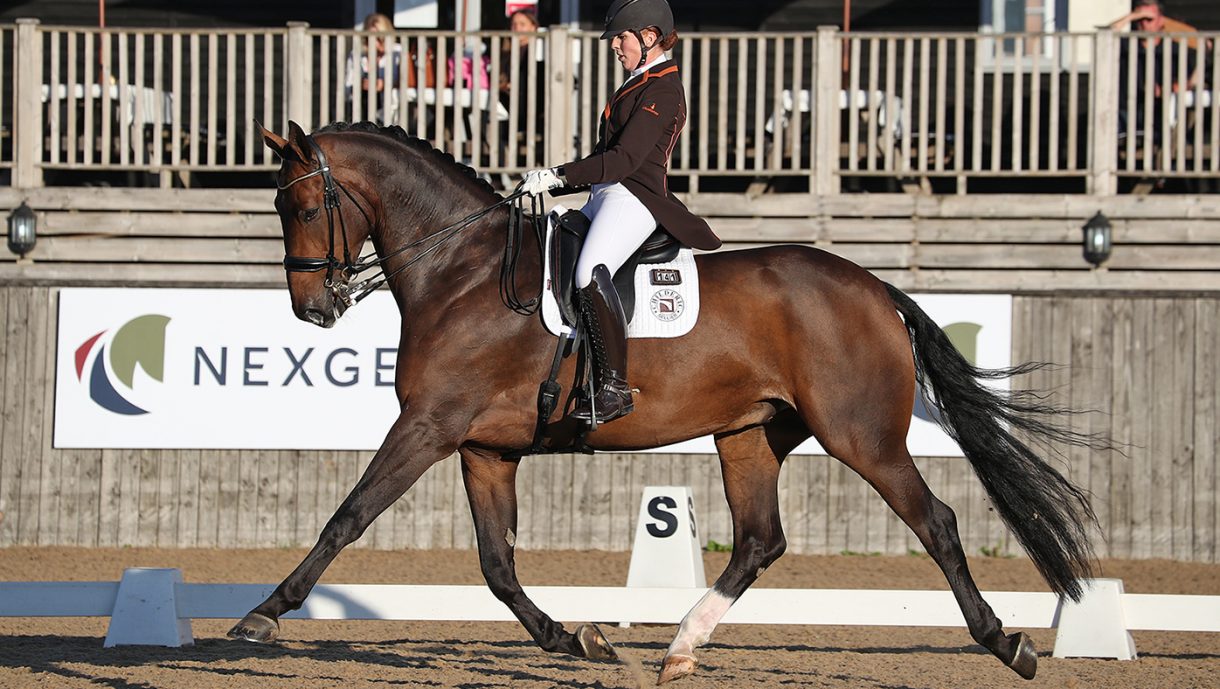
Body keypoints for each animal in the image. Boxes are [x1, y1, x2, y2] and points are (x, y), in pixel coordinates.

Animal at [231, 119, 1100, 684]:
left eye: (301, 207)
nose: (313, 311)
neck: (463, 269)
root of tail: (874, 288)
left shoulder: (427, 425)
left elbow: (347, 516)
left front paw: (262, 615)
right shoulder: (485, 447)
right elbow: (497, 565)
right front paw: (578, 639)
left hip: (863, 436)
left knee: (936, 522)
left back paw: (1008, 643)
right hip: (750, 434)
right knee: (760, 540)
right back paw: (679, 646)